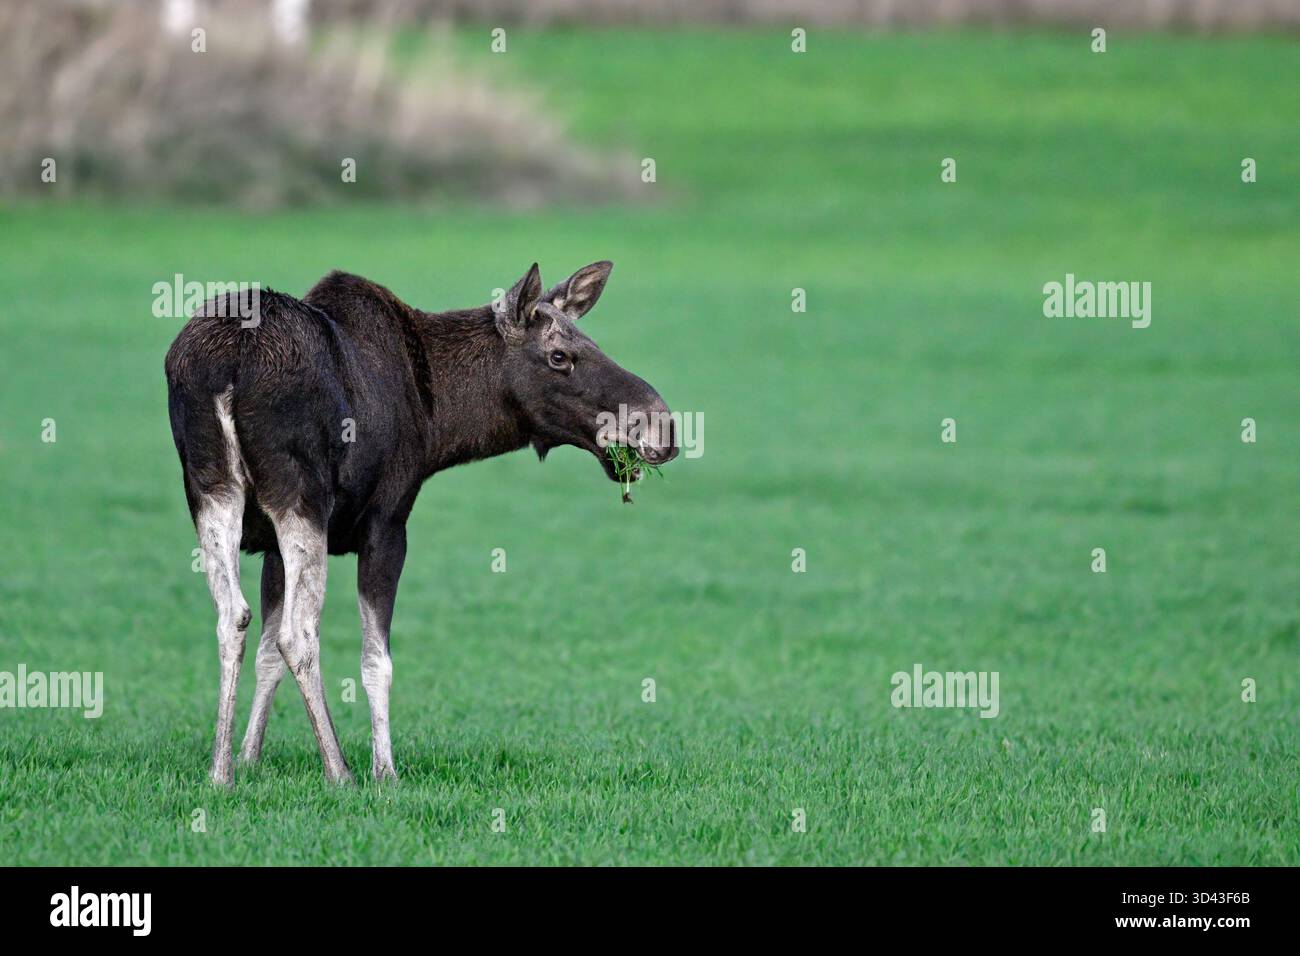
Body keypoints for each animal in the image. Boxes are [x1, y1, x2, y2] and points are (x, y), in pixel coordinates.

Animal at [164, 261, 677, 785]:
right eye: (559, 356)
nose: (663, 424)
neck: (439, 425)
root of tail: (227, 368)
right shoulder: (387, 523)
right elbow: (375, 660)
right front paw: (384, 771)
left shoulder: (269, 543)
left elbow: (267, 652)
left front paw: (248, 758)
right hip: (300, 495)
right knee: (298, 634)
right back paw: (339, 770)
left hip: (211, 490)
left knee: (233, 616)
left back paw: (219, 771)